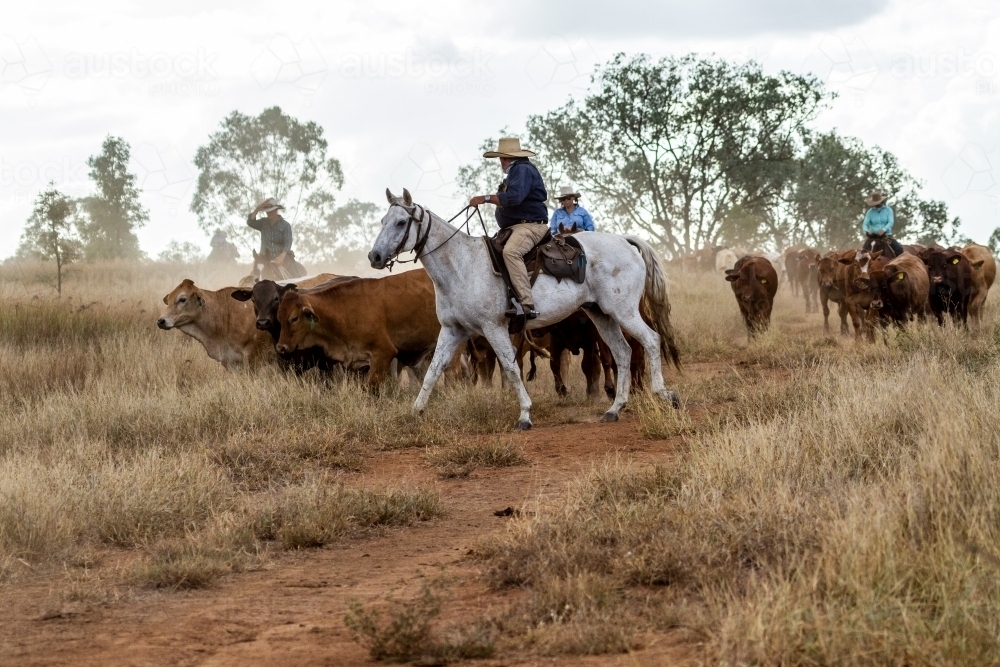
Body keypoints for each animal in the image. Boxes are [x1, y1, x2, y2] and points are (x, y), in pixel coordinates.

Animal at [274, 268, 439, 386]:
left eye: (294, 318)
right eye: (279, 318)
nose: (281, 347)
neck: (343, 311)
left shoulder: (383, 353)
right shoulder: (355, 364)